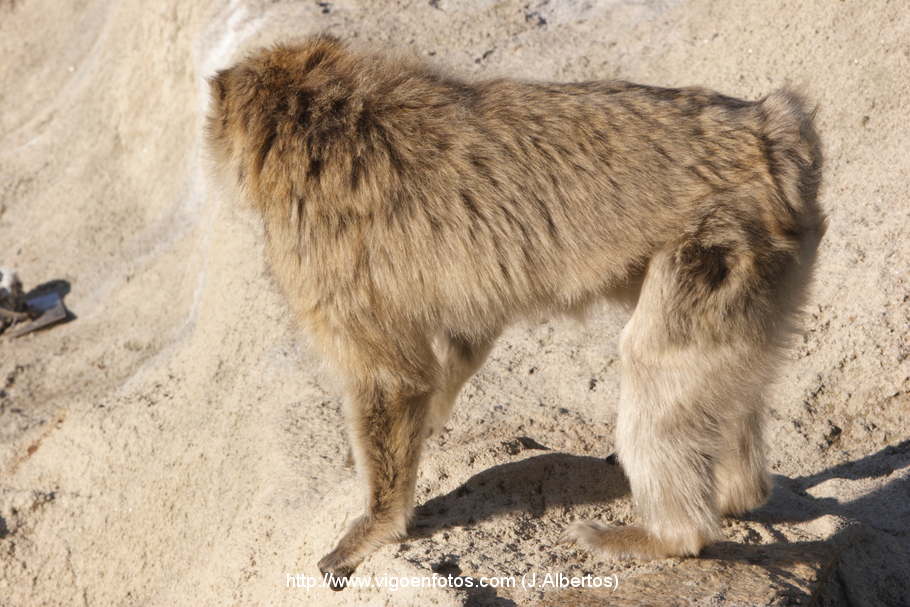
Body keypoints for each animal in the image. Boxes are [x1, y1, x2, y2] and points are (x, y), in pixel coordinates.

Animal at [205, 34, 824, 589]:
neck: (329, 120)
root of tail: (768, 127)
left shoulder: (320, 256)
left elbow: (392, 379)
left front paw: (375, 525)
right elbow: (464, 335)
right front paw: (432, 422)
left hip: (727, 240)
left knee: (657, 362)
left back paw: (672, 536)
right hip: (772, 264)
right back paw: (740, 494)